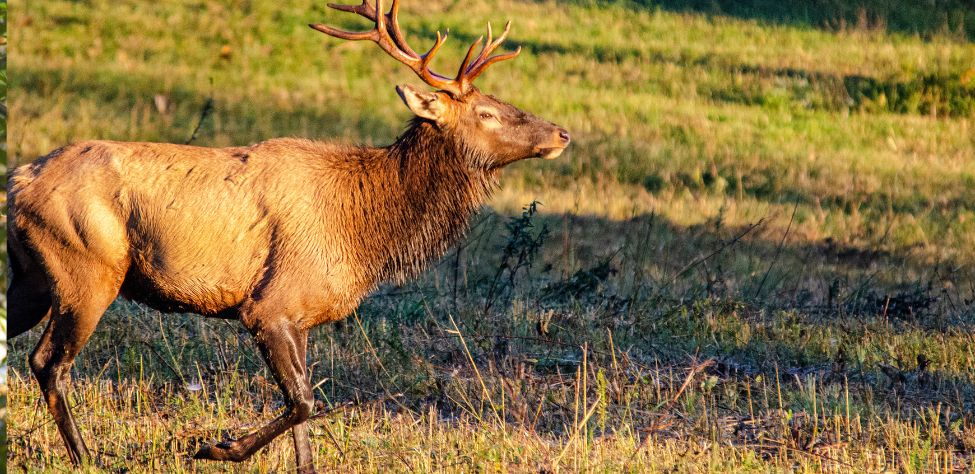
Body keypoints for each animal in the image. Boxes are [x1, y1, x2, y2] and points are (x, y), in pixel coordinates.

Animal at [7, 0, 569, 472]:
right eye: (487, 113)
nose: (562, 133)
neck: (363, 231)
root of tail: (18, 181)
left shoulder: (301, 315)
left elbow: (304, 406)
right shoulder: (268, 306)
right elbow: (303, 401)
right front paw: (215, 447)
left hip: (31, 279)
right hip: (87, 271)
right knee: (48, 362)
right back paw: (87, 457)